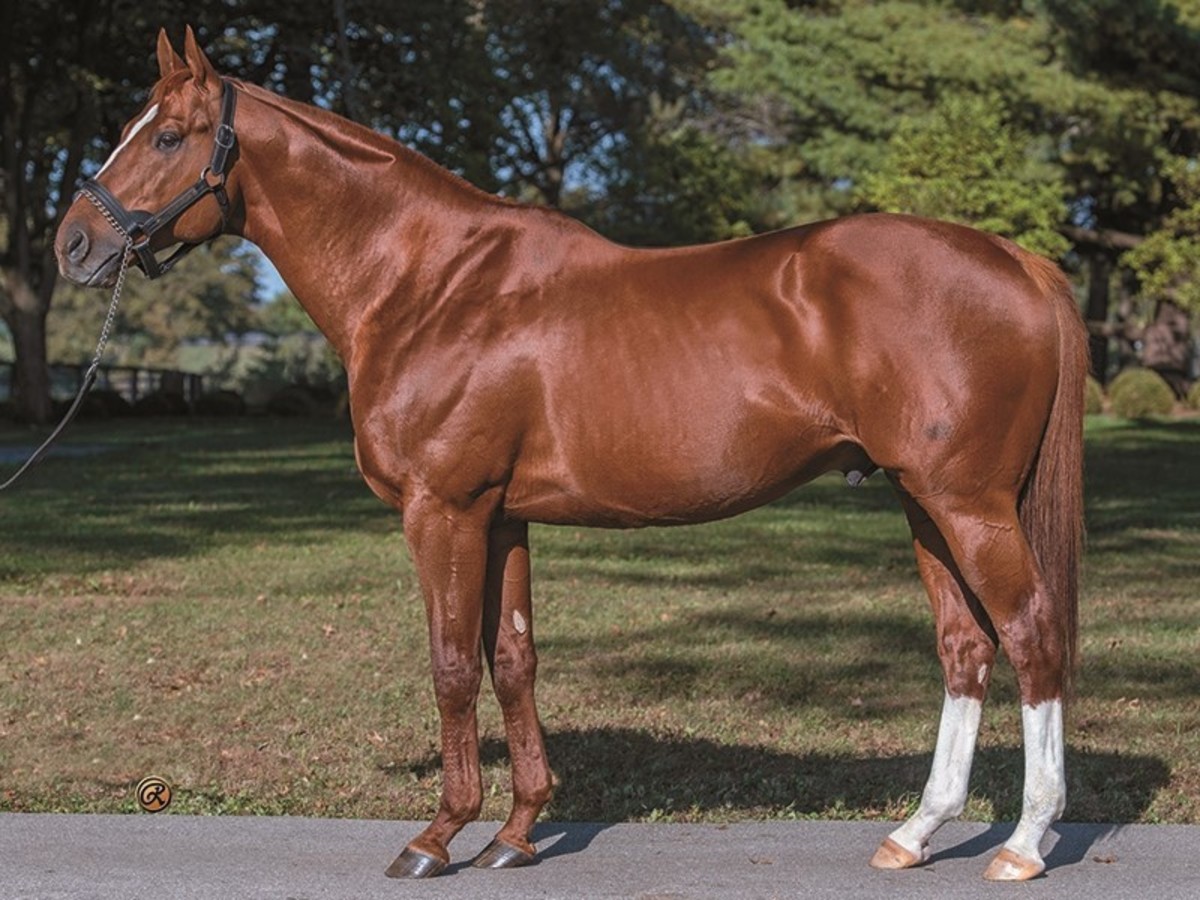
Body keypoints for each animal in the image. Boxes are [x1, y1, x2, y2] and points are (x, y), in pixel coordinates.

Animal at [56, 27, 1087, 882]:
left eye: (167, 137)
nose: (73, 243)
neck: (430, 282)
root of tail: (1016, 260)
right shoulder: (503, 516)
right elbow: (513, 659)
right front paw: (516, 834)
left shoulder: (443, 510)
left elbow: (450, 664)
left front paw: (439, 836)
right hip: (923, 503)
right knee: (964, 648)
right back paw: (914, 834)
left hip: (968, 504)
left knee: (1031, 635)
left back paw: (1025, 845)